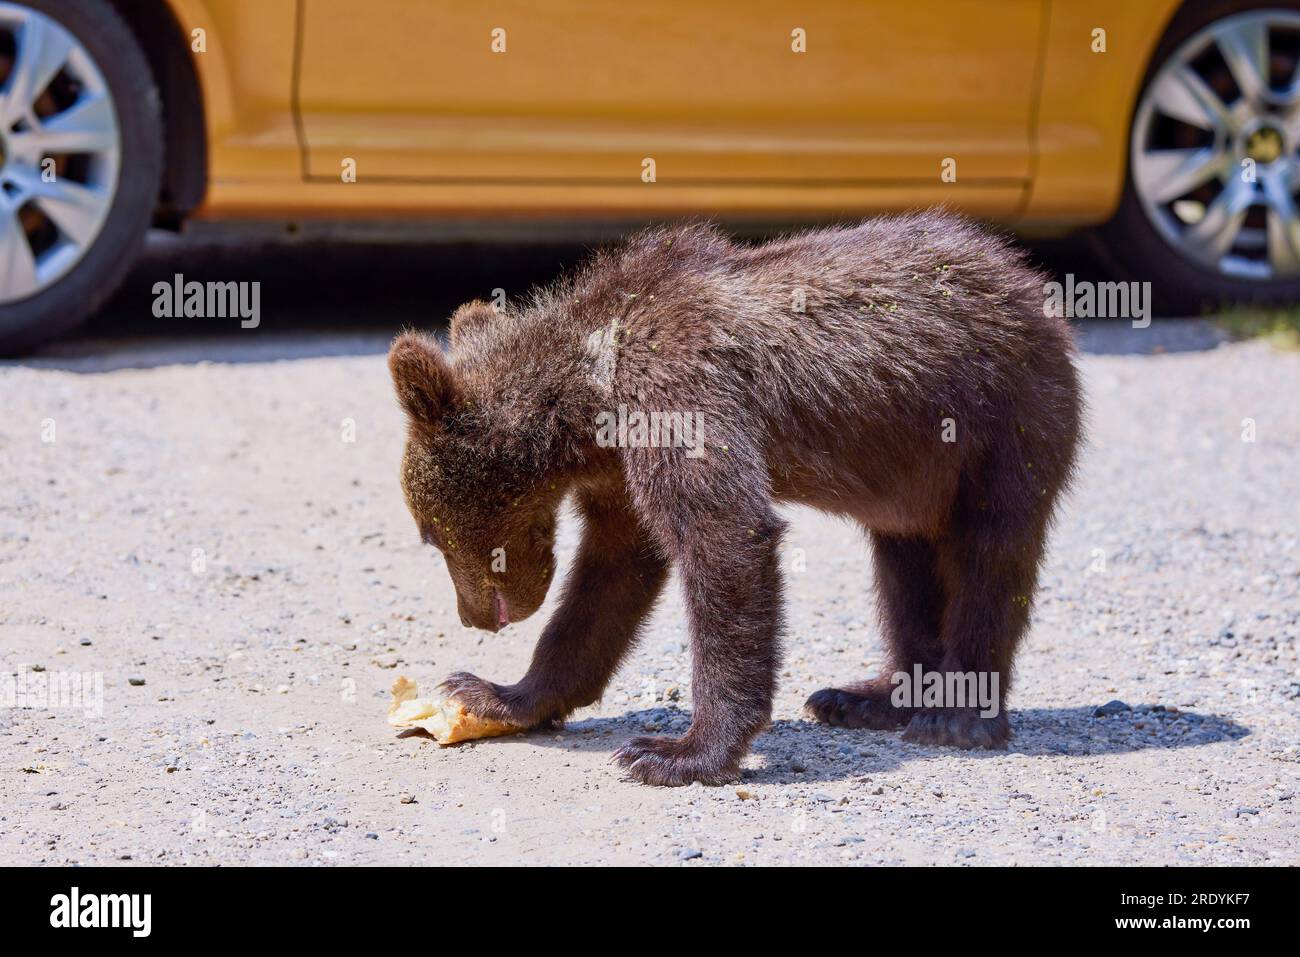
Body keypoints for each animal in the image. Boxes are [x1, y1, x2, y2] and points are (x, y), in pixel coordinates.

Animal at [388, 209, 1082, 786]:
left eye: (430, 533)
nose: (471, 618)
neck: (589, 399)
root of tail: (1025, 278)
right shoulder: (620, 474)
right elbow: (609, 580)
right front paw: (497, 692)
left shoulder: (678, 392)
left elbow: (724, 536)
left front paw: (678, 752)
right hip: (911, 476)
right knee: (904, 568)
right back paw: (869, 698)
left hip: (1002, 425)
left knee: (988, 559)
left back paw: (957, 714)